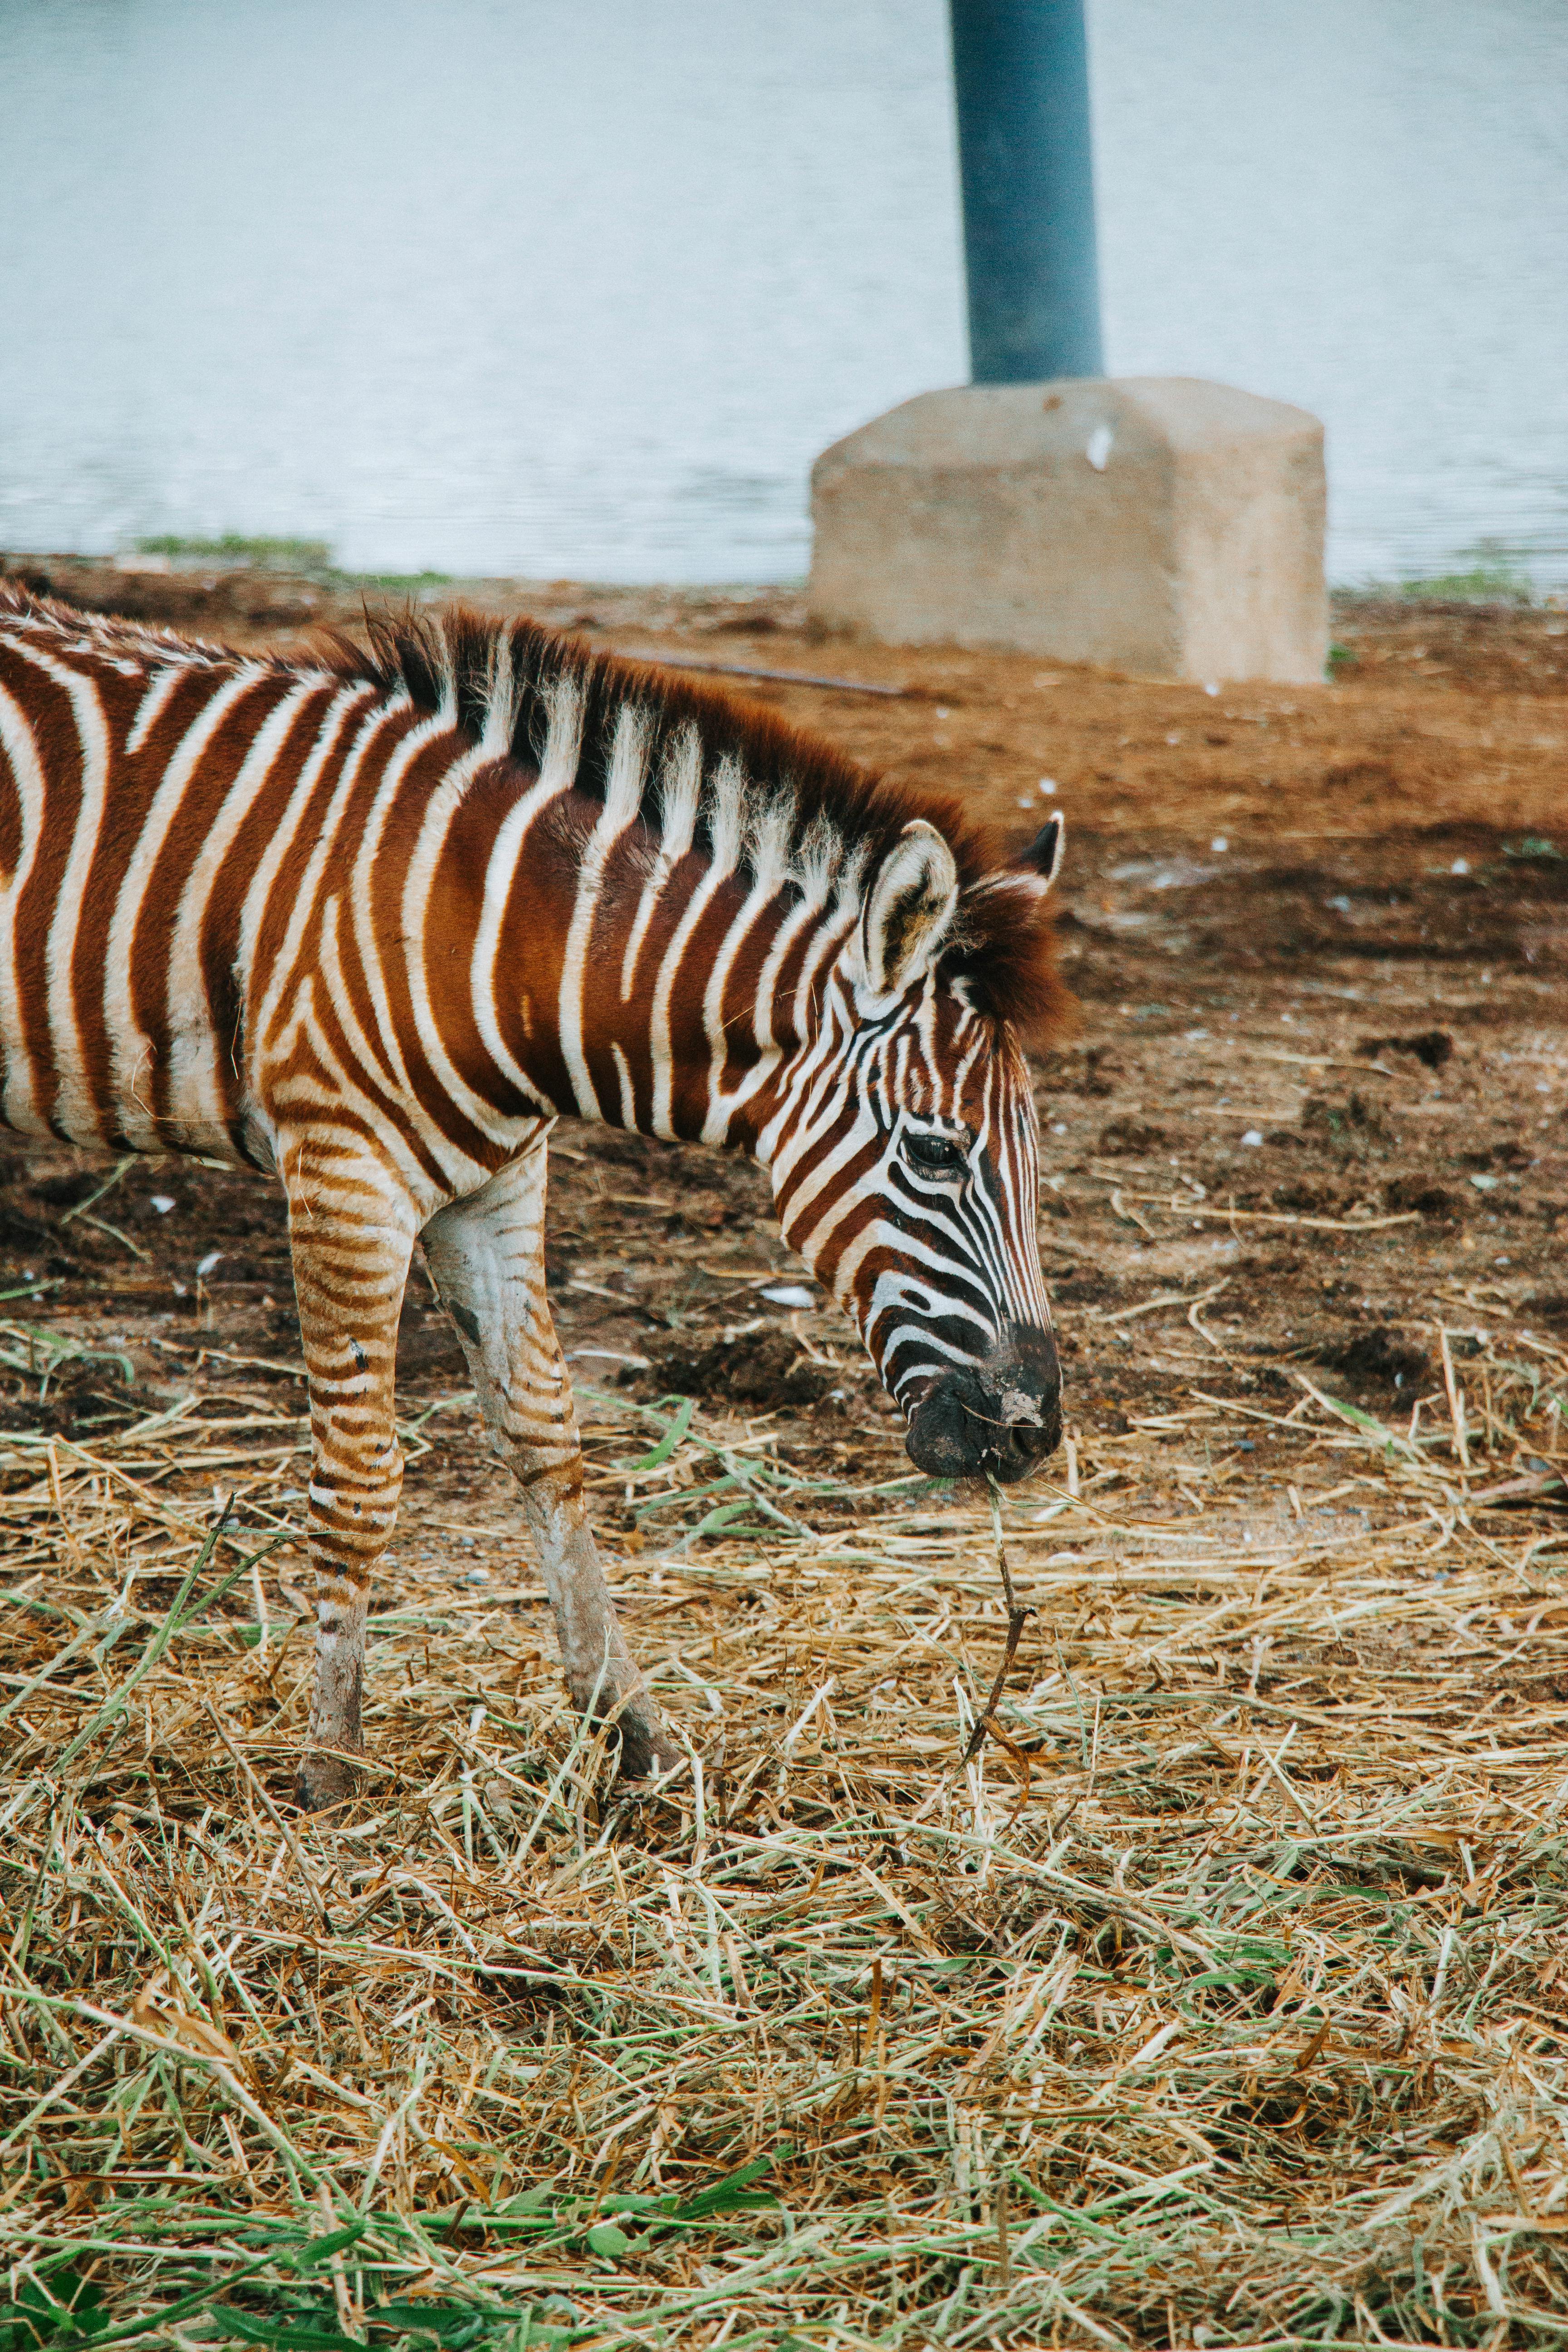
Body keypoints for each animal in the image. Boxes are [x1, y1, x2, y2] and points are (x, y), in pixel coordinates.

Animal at [0, 587, 1071, 1807]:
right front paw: (330, 1770)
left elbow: (546, 1440)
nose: (1031, 1431)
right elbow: (359, 1474)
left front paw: (632, 1729)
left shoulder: (498, 1181)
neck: (493, 933)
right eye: (936, 1154)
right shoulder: (343, 1166)